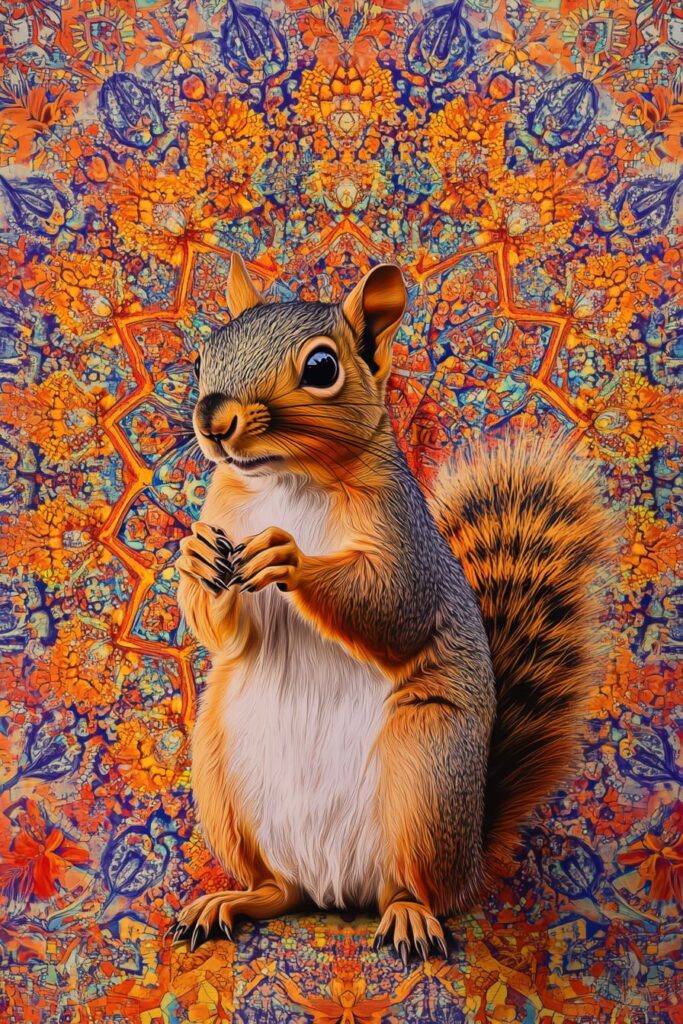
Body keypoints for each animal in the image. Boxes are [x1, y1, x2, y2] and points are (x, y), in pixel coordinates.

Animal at [172, 254, 612, 962]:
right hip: (218, 778)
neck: (286, 478)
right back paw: (231, 900)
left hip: (426, 771)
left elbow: (394, 604)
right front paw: (192, 561)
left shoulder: (405, 540)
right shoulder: (224, 512)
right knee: (277, 890)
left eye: (322, 367)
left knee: (416, 886)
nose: (213, 419)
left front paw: (287, 557)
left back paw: (409, 915)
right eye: (199, 358)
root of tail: (335, 892)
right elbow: (224, 636)